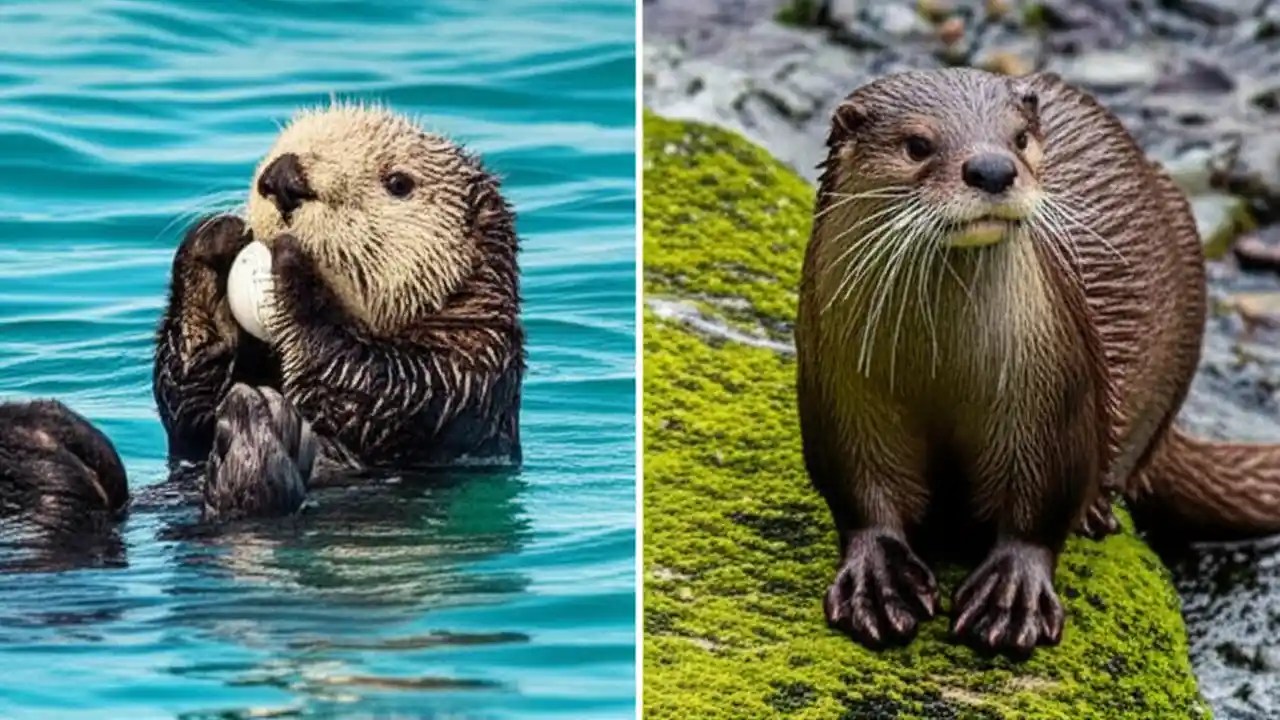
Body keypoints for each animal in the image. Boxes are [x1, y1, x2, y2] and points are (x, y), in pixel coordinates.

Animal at [154, 104, 525, 521]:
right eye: (281, 145)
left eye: (398, 182)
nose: (283, 177)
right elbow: (186, 404)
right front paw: (212, 240)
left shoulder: (457, 378)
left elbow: (363, 386)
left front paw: (294, 264)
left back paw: (250, 428)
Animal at [797, 68, 1280, 657]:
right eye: (917, 145)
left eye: (1020, 138)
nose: (993, 168)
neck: (939, 369)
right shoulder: (839, 394)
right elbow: (860, 496)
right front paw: (877, 583)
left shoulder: (1053, 395)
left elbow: (1040, 507)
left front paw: (1011, 597)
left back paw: (1096, 513)